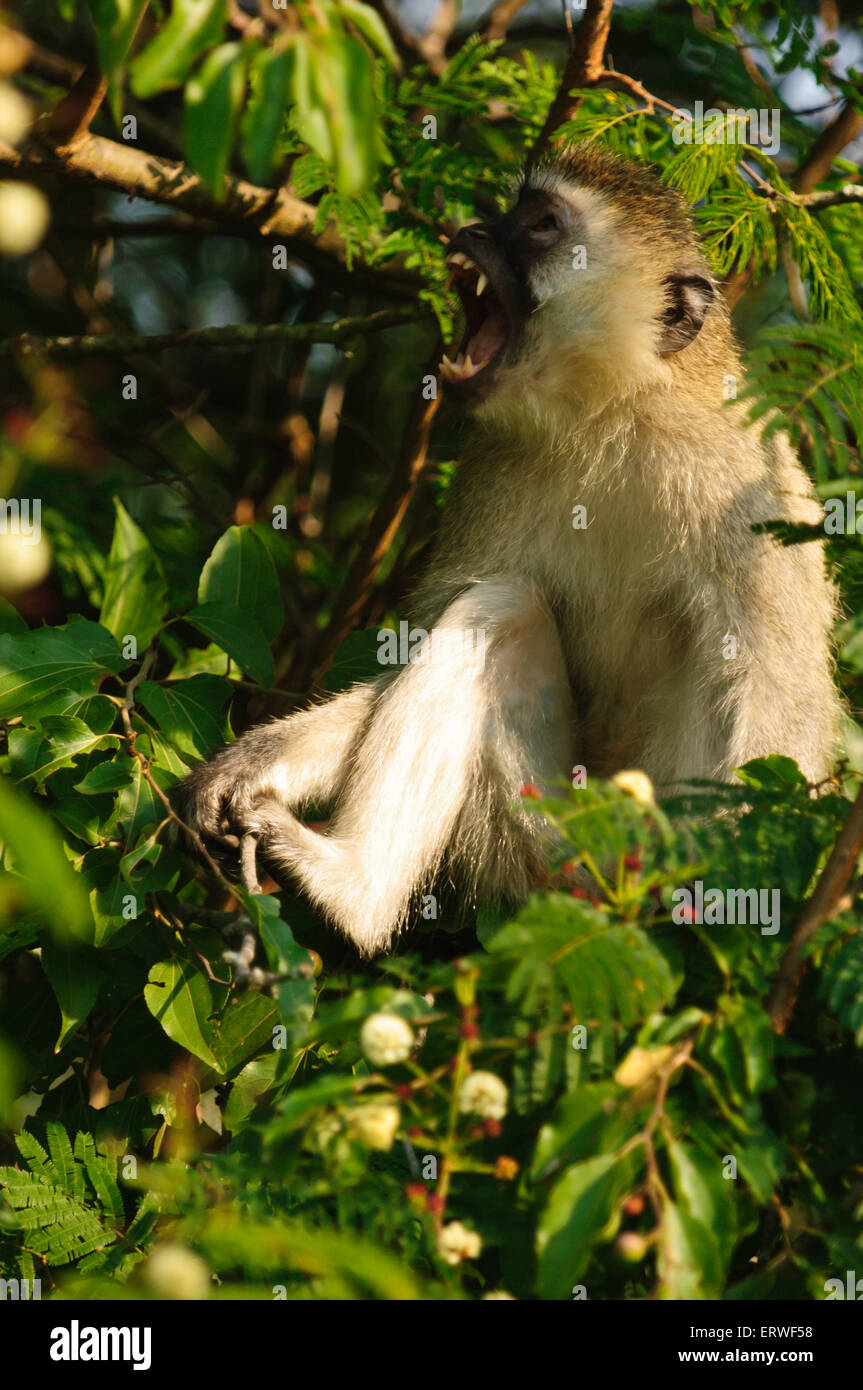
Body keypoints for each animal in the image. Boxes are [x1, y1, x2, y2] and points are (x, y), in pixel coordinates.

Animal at [180, 143, 839, 957]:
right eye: (506, 211)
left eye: (541, 225)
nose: (470, 230)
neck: (610, 415)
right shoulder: (493, 468)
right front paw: (252, 764)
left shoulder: (745, 485)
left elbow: (781, 696)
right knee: (500, 607)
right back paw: (351, 890)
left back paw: (345, 892)